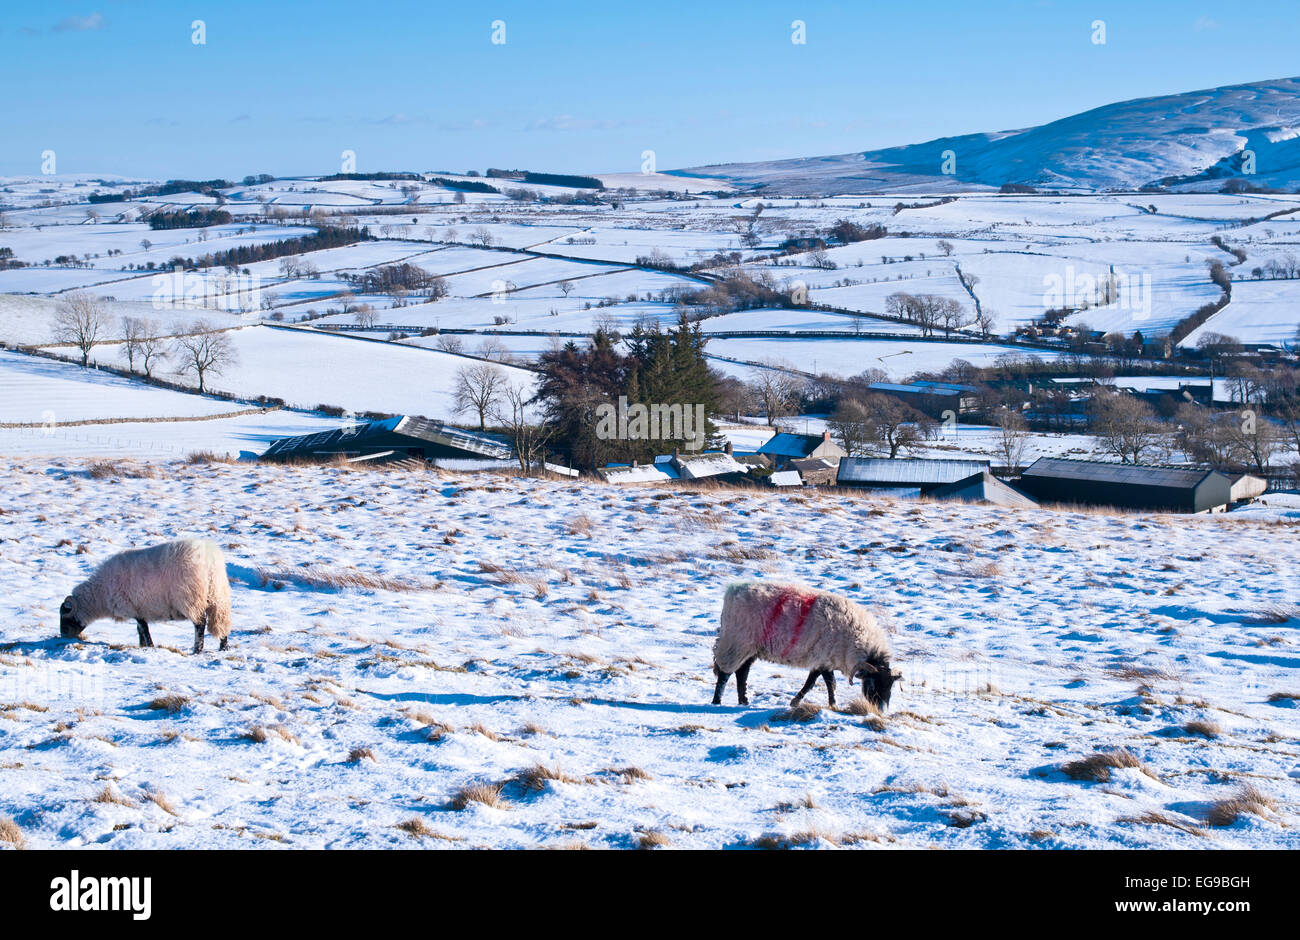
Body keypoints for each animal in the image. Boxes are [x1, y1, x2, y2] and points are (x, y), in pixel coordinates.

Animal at [59, 539, 232, 654]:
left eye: (65, 616)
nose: (63, 636)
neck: (100, 594)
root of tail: (210, 560)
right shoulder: (139, 609)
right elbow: (140, 629)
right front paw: (143, 645)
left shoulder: (133, 607)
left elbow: (143, 628)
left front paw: (149, 645)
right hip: (218, 596)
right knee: (221, 622)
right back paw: (223, 648)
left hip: (191, 598)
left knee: (200, 624)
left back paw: (197, 649)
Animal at [711, 581, 901, 709]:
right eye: (872, 684)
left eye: (890, 685)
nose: (880, 710)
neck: (854, 639)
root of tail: (731, 592)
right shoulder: (824, 658)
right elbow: (826, 683)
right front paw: (829, 704)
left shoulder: (822, 660)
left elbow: (817, 682)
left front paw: (802, 702)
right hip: (735, 642)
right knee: (725, 674)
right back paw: (717, 702)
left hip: (749, 648)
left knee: (742, 672)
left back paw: (743, 701)